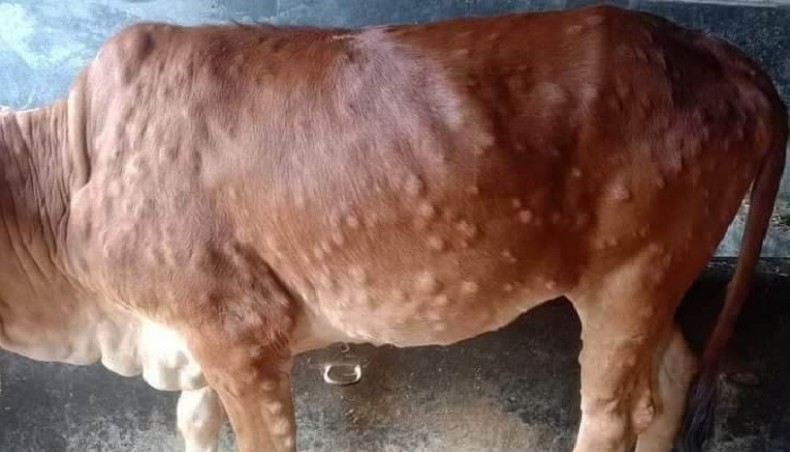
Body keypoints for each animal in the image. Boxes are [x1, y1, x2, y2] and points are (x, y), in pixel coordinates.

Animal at [0, 4, 786, 452]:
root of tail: (715, 51)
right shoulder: (195, 350)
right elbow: (195, 426)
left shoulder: (238, 331)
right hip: (658, 271)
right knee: (671, 380)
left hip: (628, 273)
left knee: (613, 416)